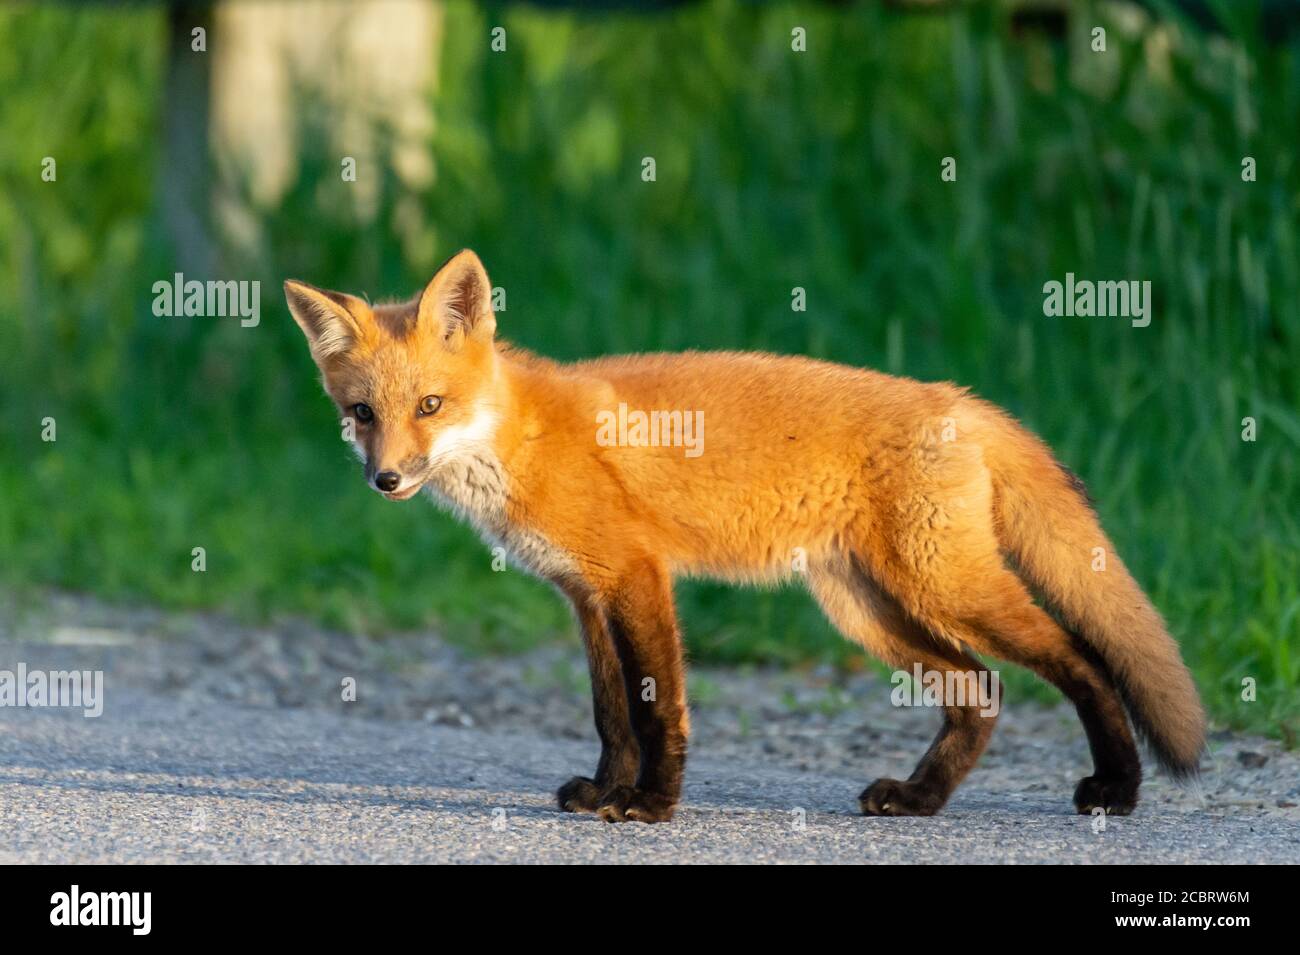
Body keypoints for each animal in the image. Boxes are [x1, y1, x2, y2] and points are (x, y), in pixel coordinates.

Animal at [285, 249, 1205, 823]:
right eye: (362, 413)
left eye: (430, 406)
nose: (386, 479)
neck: (521, 438)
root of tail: (958, 398)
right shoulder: (586, 593)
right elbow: (612, 712)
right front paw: (606, 791)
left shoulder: (637, 575)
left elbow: (659, 707)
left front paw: (650, 805)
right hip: (868, 610)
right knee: (982, 690)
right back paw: (918, 800)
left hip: (947, 588)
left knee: (1081, 658)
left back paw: (1117, 786)